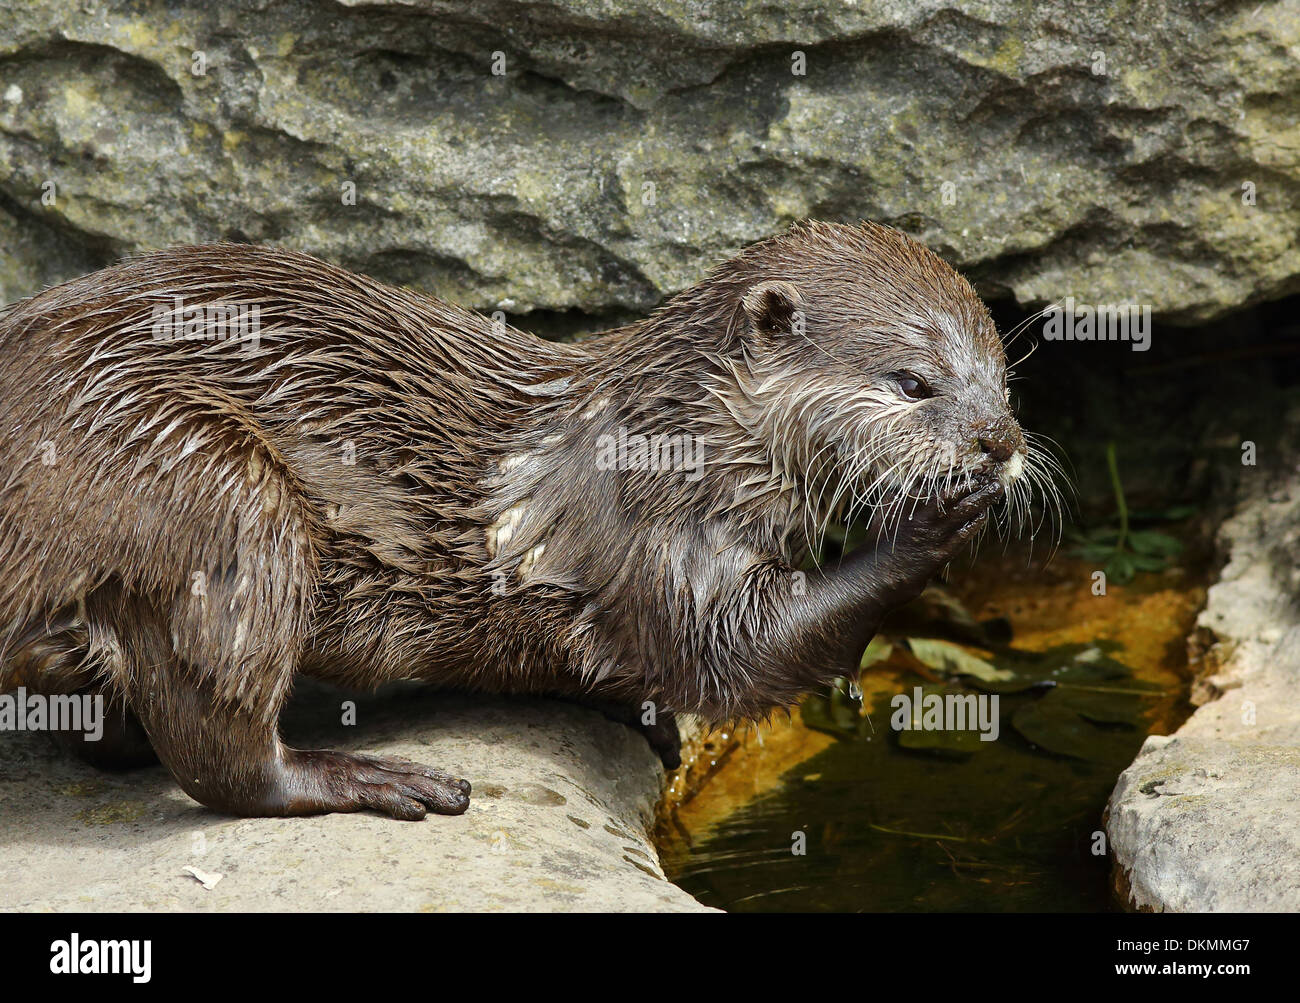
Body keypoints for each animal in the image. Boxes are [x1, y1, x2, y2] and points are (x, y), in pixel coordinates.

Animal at [0, 221, 1050, 820]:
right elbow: (731, 656)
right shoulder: (653, 529)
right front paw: (930, 527)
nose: (998, 441)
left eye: (1003, 379)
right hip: (203, 476)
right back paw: (377, 778)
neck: (679, 439)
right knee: (224, 745)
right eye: (912, 384)